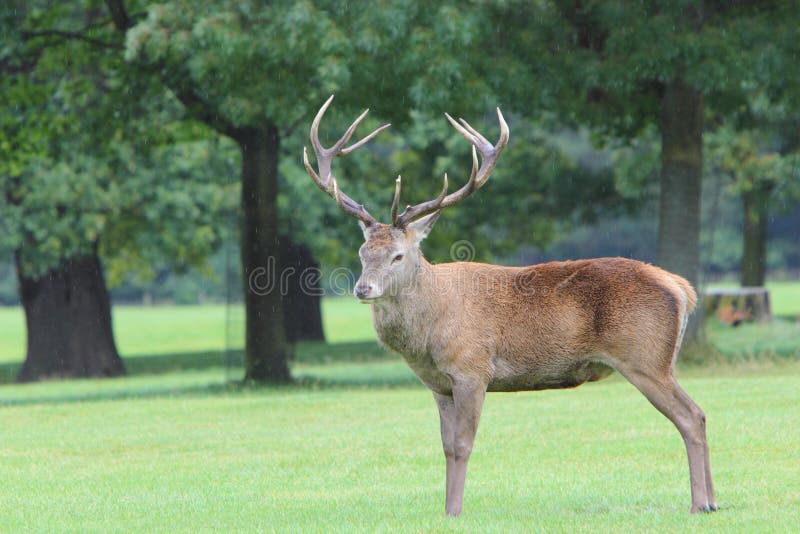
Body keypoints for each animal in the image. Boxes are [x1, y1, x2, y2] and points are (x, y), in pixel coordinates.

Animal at [303, 95, 717, 516]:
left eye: (398, 255)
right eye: (362, 252)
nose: (362, 288)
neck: (428, 333)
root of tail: (683, 289)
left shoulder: (472, 368)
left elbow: (464, 445)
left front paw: (456, 511)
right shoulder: (439, 384)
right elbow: (446, 448)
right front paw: (447, 511)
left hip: (645, 357)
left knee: (690, 416)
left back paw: (700, 503)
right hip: (659, 360)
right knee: (698, 414)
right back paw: (712, 501)